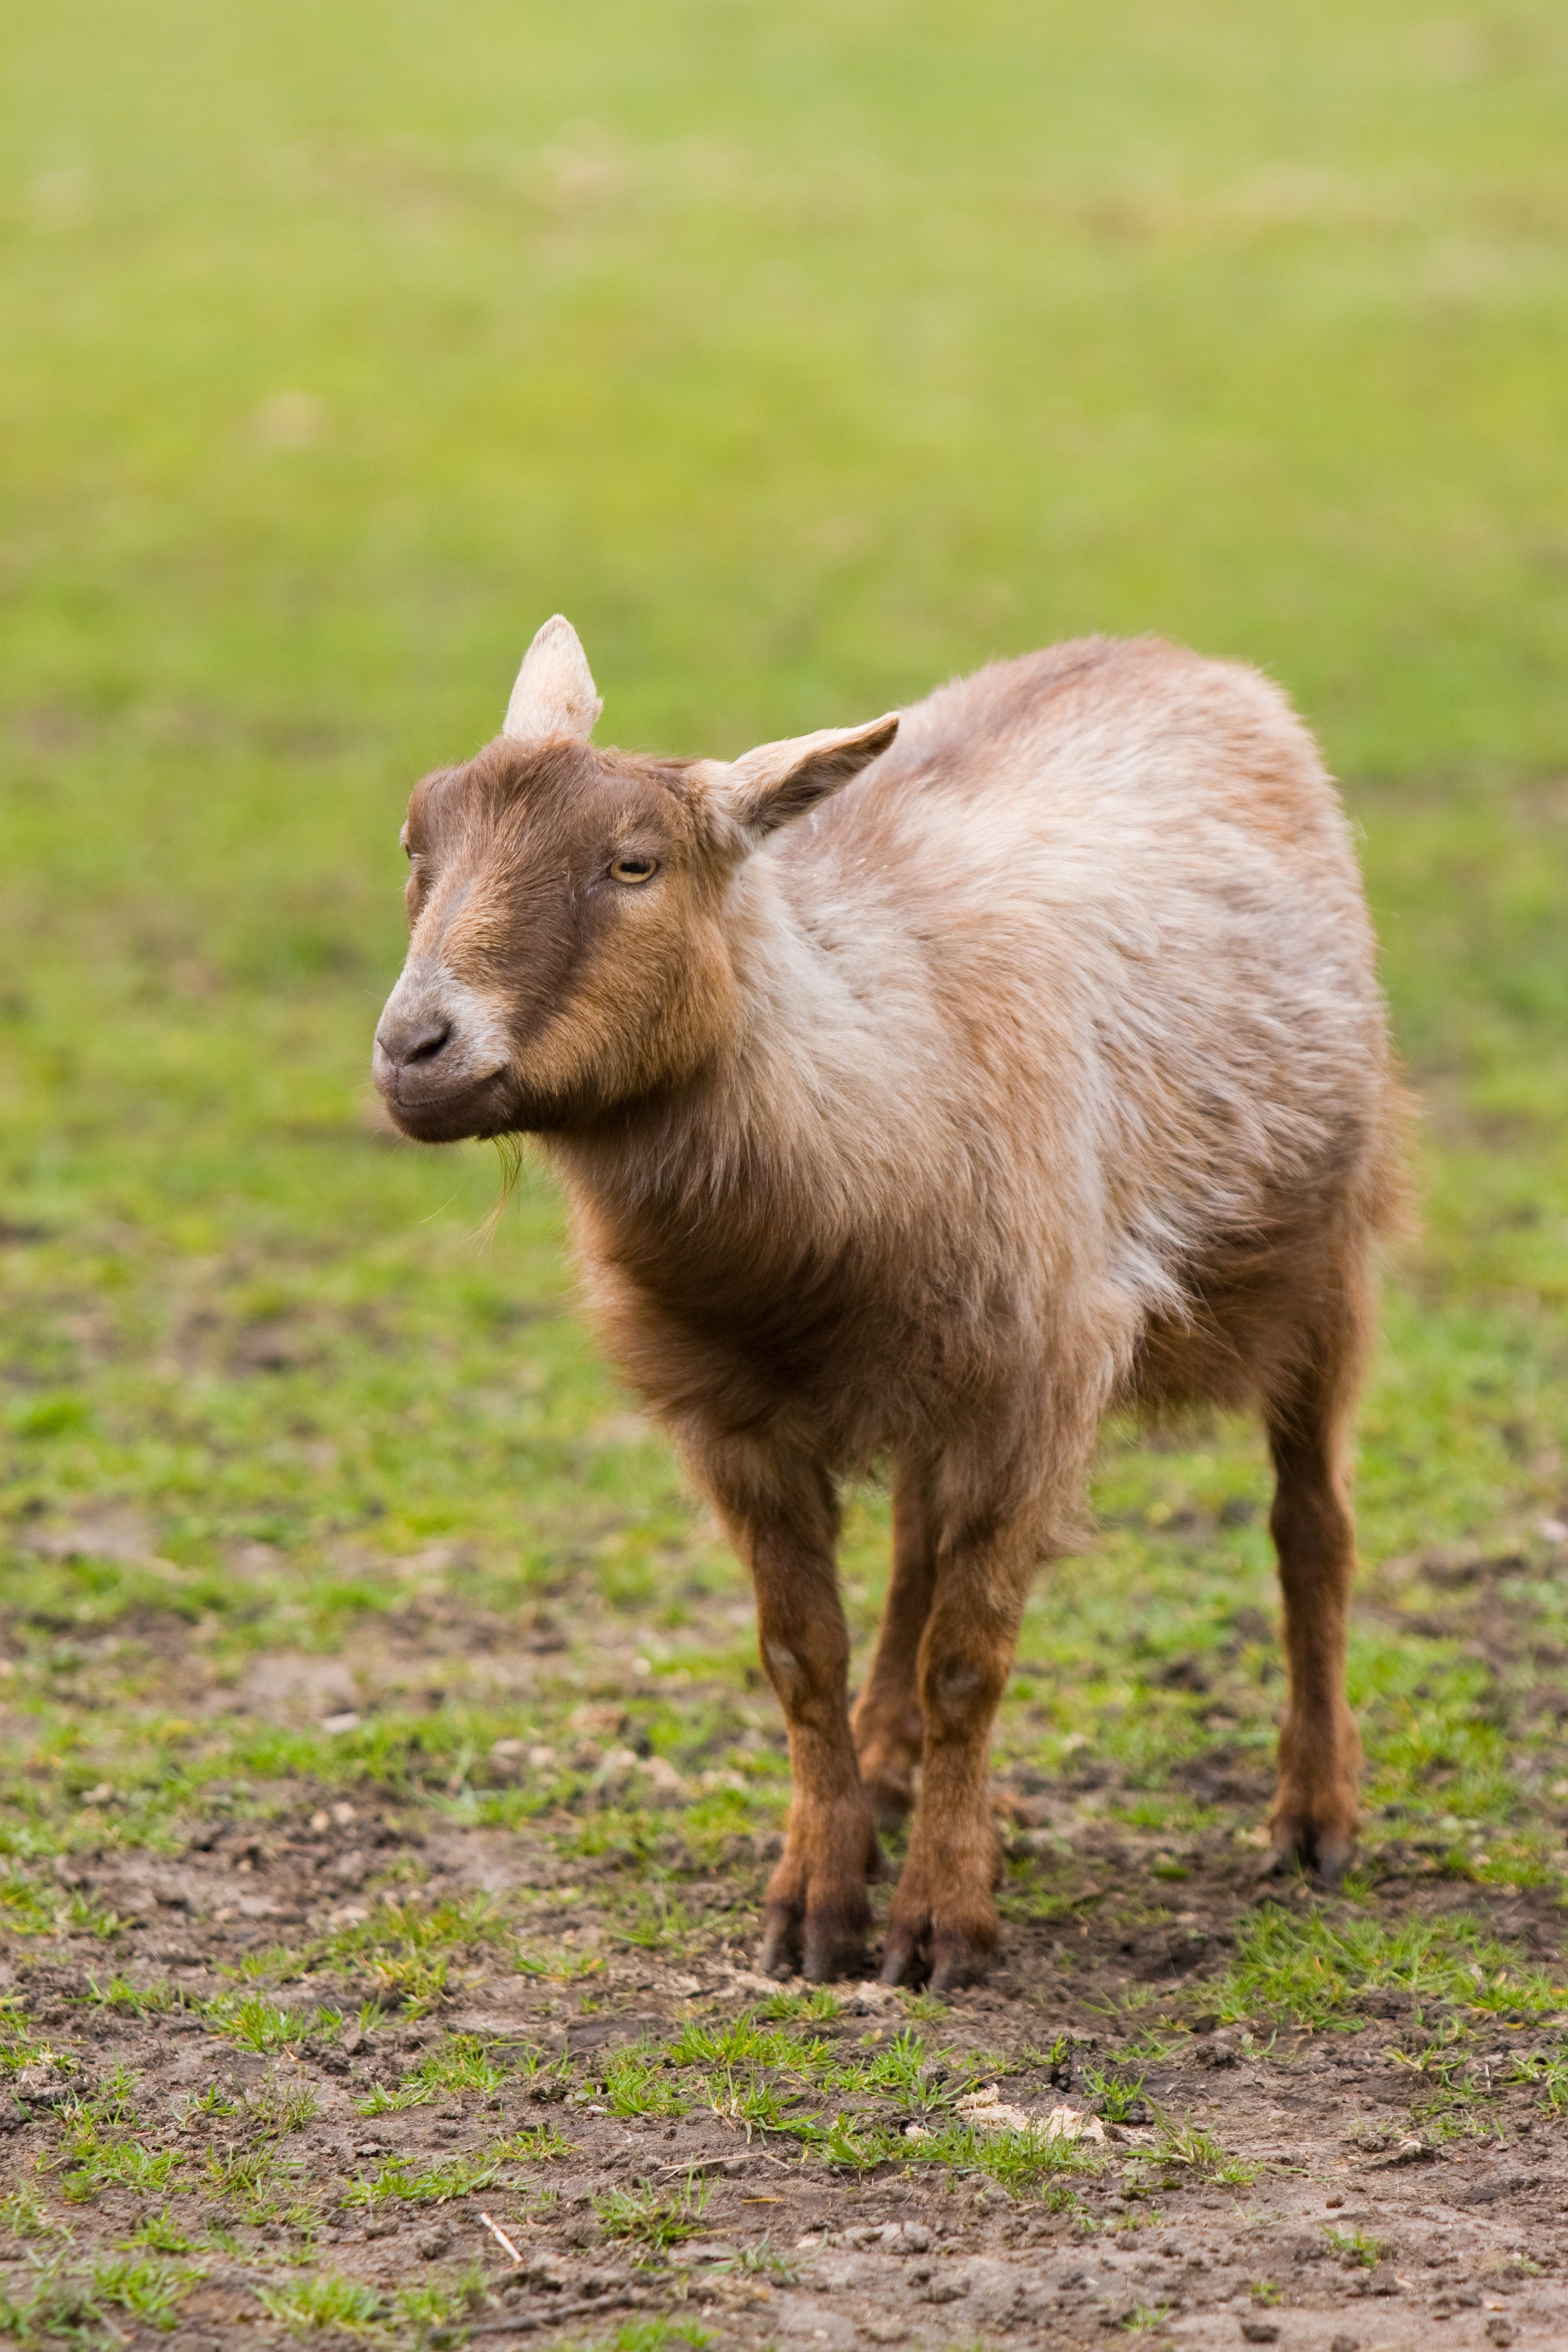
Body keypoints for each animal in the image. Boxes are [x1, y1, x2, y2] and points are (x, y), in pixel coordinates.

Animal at [373, 615, 1405, 1989]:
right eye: (416, 846)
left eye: (634, 863)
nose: (413, 1050)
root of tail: (1159, 648)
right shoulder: (737, 1420)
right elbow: (801, 1655)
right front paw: (817, 1899)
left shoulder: (1037, 1385)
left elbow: (971, 1662)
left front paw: (941, 1923)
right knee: (918, 1549)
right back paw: (885, 1760)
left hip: (1324, 1254)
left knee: (1312, 1528)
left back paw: (1313, 1815)